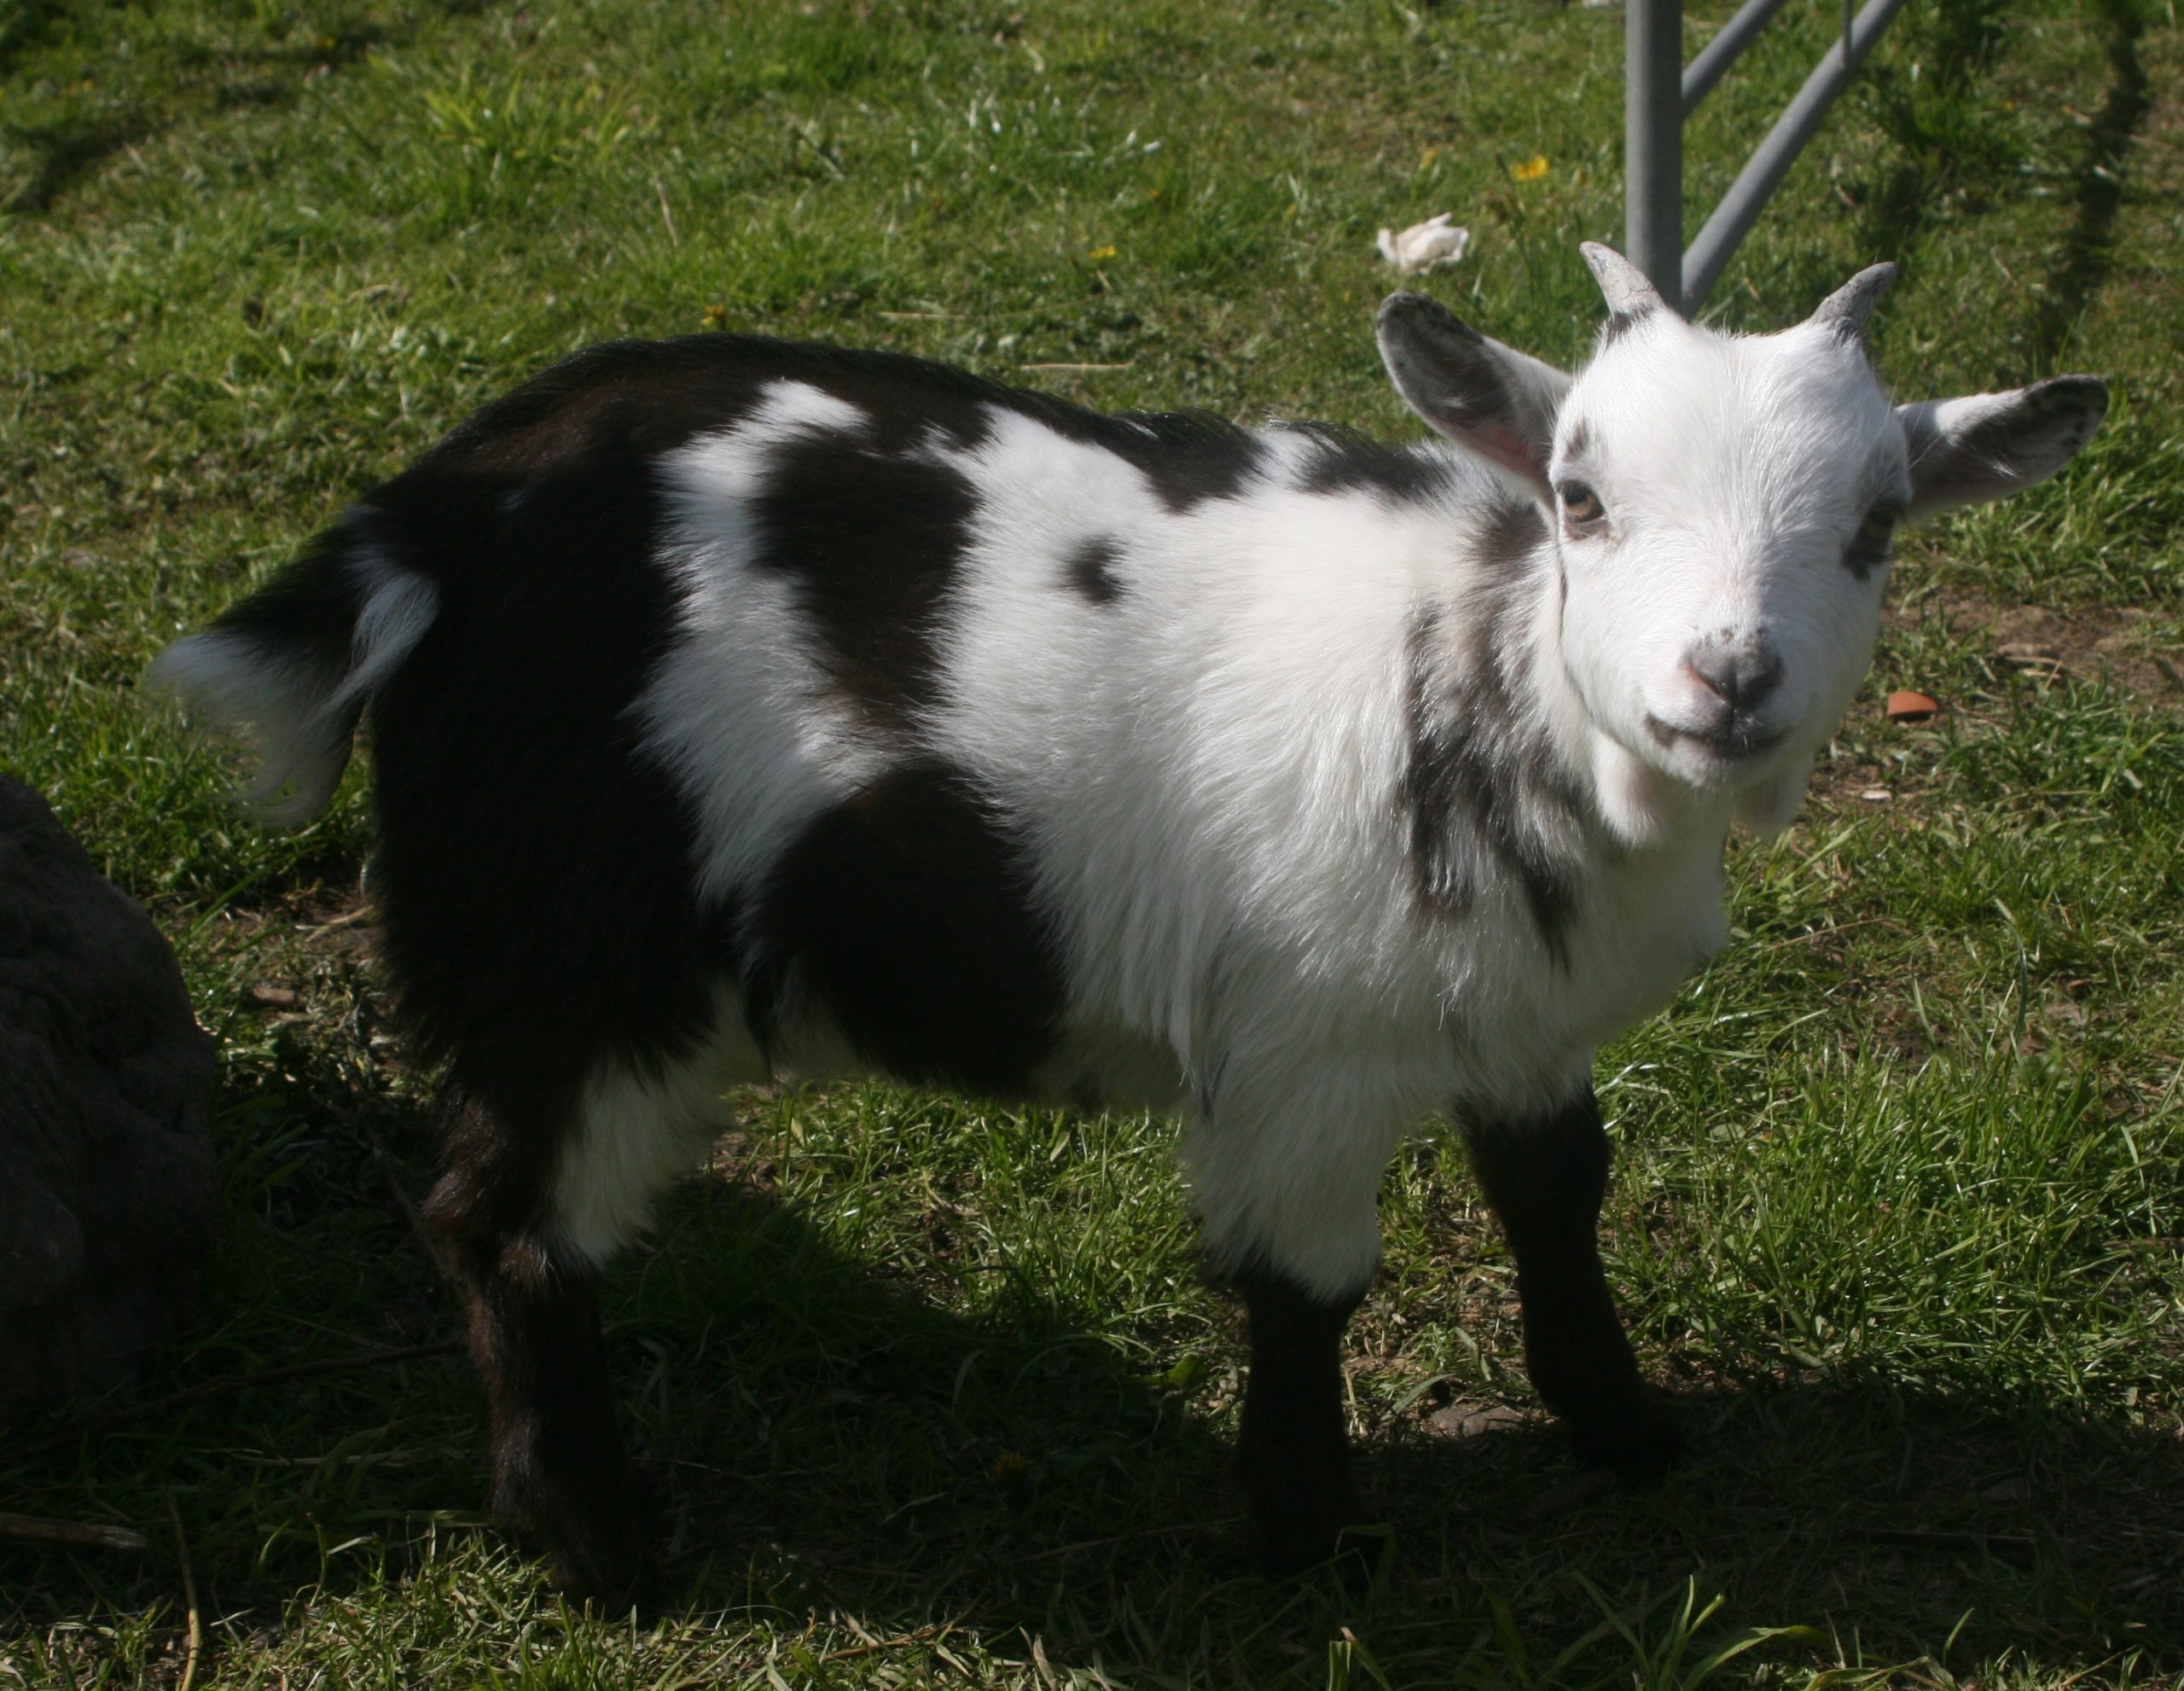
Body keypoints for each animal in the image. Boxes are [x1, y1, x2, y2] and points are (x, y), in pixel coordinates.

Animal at [149, 244, 2108, 1602]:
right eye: (1580, 495)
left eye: (1875, 525)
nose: (1726, 680)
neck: (1478, 676)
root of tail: (423, 526)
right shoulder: (1303, 1055)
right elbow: (1307, 1286)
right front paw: (1307, 1543)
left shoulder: (1509, 1012)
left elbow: (1558, 1195)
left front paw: (1623, 1427)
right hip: (575, 953)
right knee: (500, 1225)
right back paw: (606, 1546)